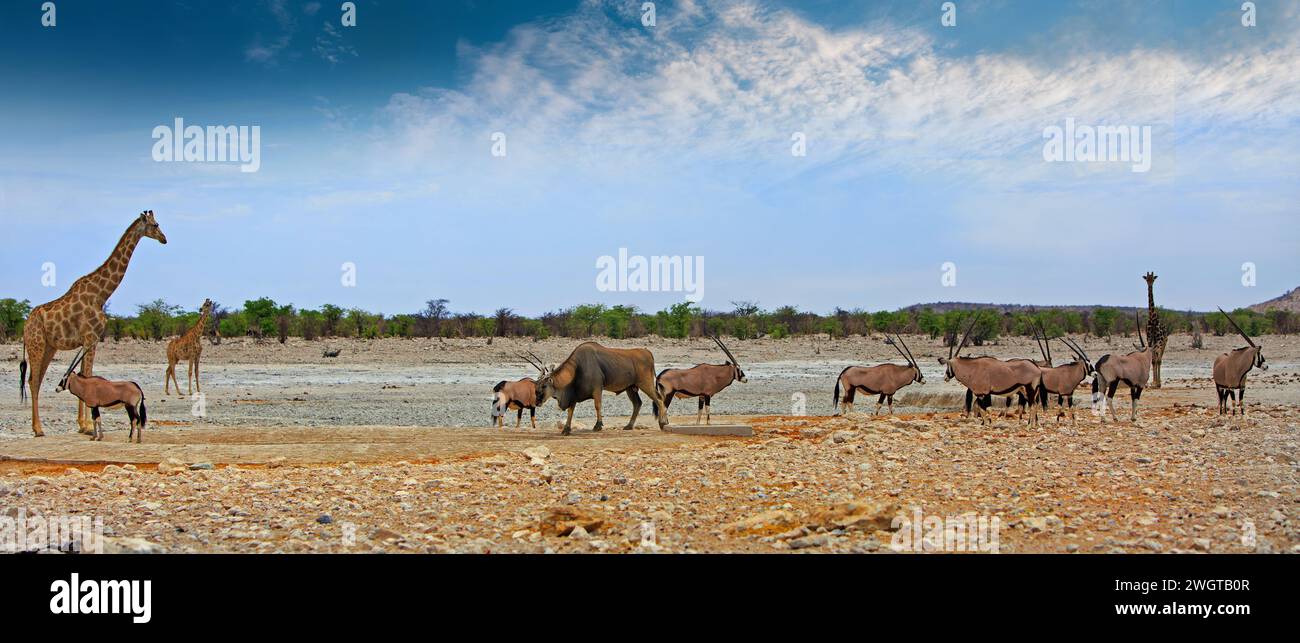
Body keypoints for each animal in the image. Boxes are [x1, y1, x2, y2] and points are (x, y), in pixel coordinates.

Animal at [19, 211, 167, 437]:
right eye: (155, 224)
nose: (164, 239)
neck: (101, 294)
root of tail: (25, 326)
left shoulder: (91, 340)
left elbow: (84, 375)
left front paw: (83, 424)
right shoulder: (90, 337)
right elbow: (87, 375)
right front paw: (87, 425)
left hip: (49, 348)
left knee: (33, 380)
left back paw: (37, 427)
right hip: (37, 346)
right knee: (34, 381)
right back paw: (39, 429)